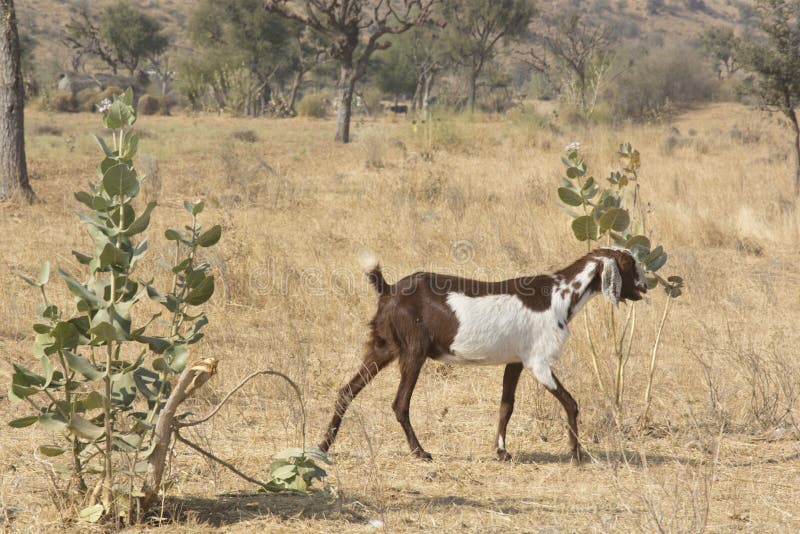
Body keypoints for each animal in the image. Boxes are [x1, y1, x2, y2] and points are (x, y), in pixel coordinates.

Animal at [319, 247, 647, 462]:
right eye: (631, 264)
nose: (646, 285)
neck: (560, 294)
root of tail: (388, 290)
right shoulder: (538, 362)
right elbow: (571, 403)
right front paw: (577, 454)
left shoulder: (515, 361)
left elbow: (506, 406)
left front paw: (502, 452)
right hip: (413, 351)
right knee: (400, 404)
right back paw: (420, 452)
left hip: (383, 346)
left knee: (346, 390)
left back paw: (323, 446)